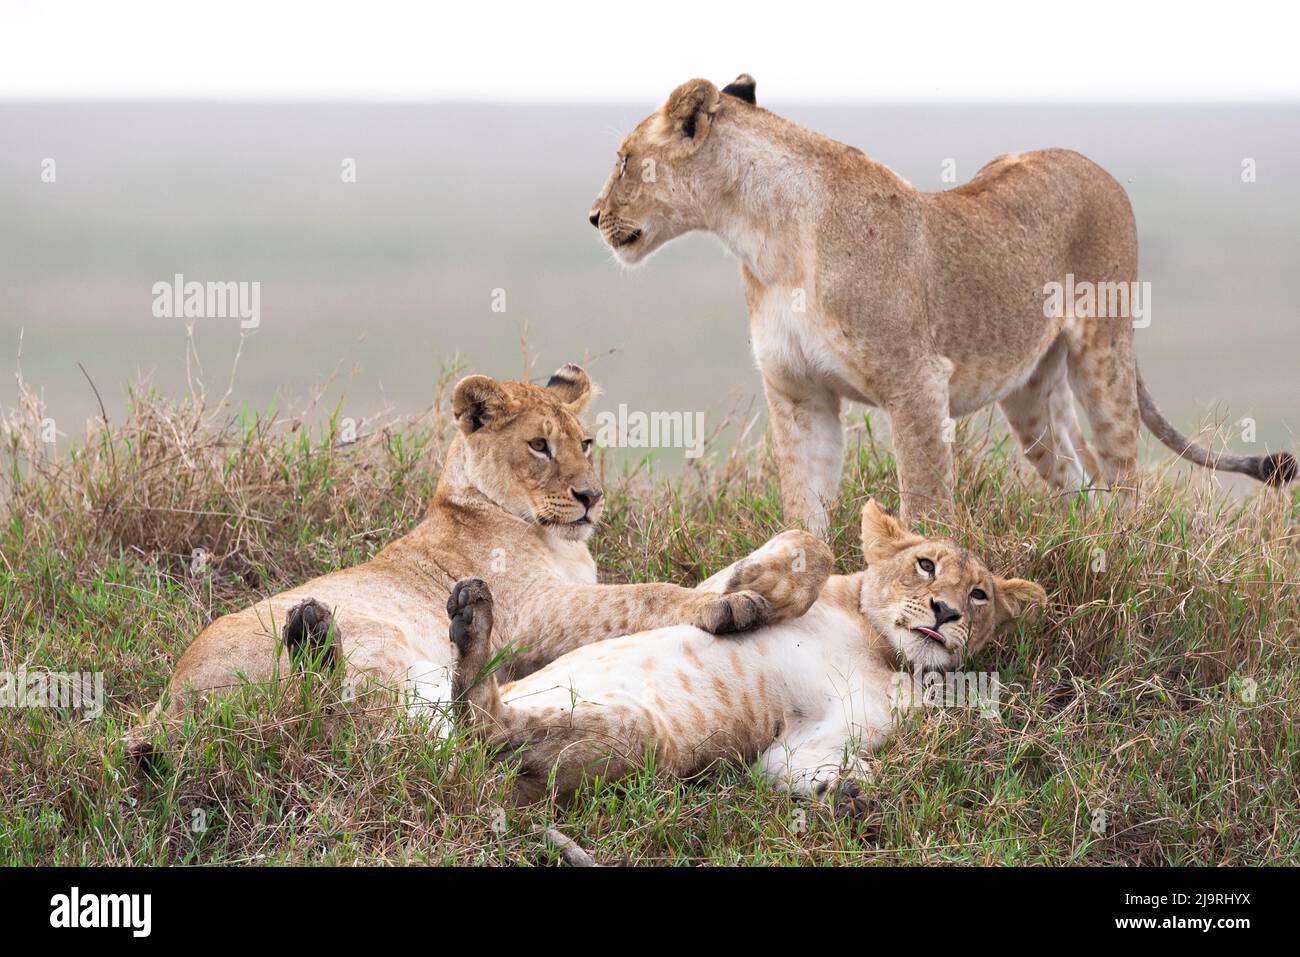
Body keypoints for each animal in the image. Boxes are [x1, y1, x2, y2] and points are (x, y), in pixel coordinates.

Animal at [125, 364, 831, 754]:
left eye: (585, 442)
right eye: (539, 446)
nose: (591, 497)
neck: (554, 541)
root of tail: (167, 701)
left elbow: (763, 561)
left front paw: (783, 571)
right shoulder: (538, 614)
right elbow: (648, 594)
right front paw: (730, 607)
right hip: (379, 640)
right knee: (373, 726)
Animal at [450, 499, 1045, 806]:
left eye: (980, 594)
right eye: (925, 564)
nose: (947, 611)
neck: (878, 646)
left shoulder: (816, 739)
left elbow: (790, 766)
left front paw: (846, 789)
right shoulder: (698, 591)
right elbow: (808, 545)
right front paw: (757, 593)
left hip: (641, 741)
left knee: (488, 731)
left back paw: (472, 626)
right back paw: (471, 615)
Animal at [589, 74, 1295, 531]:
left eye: (624, 160)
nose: (593, 217)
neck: (764, 235)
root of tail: (1086, 161)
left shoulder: (915, 384)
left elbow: (924, 510)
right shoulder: (798, 393)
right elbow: (802, 511)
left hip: (1103, 352)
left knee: (1125, 475)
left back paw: (1119, 560)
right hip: (1032, 392)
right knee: (1076, 471)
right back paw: (1079, 545)